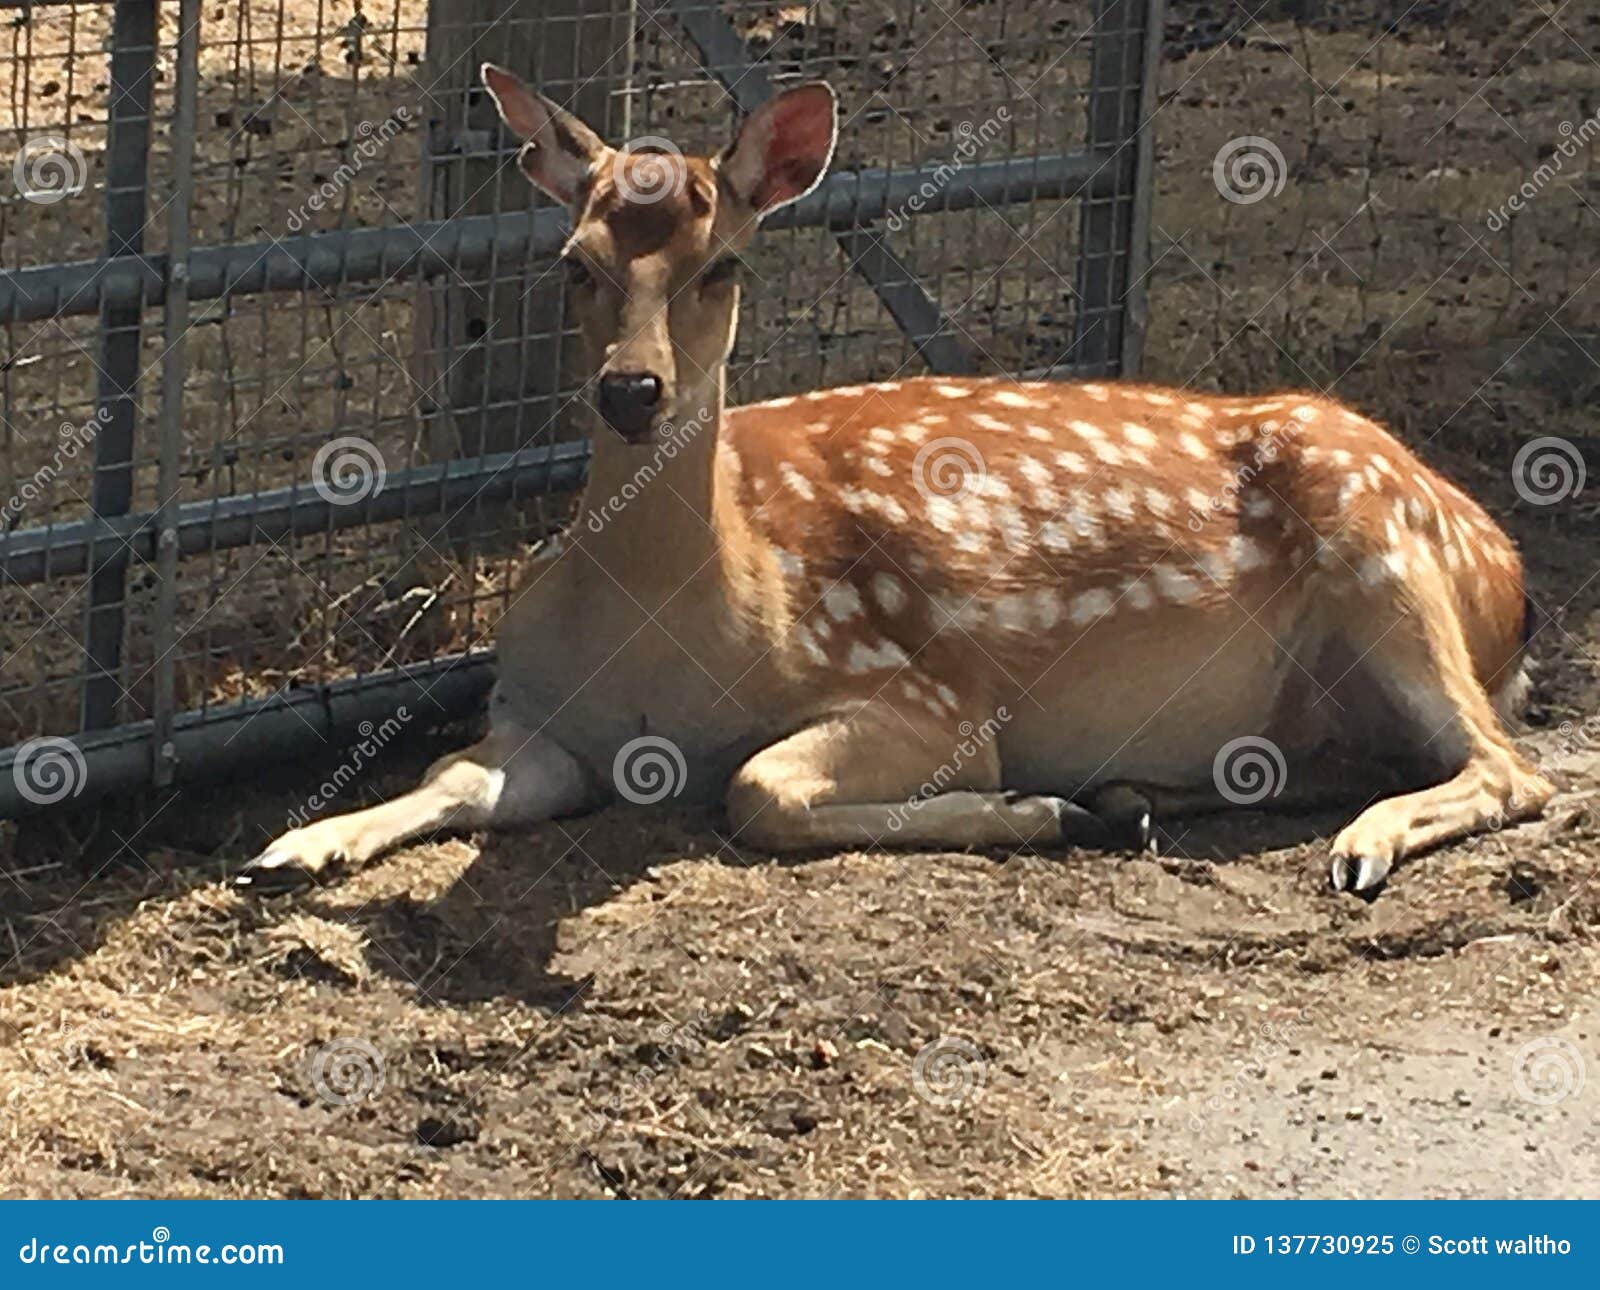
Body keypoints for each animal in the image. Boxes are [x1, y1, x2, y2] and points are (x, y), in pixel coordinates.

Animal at [242, 65, 1554, 897]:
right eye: (572, 261)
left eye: (722, 264)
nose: (631, 390)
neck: (686, 636)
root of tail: (1508, 572)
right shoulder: (537, 715)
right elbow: (451, 772)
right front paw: (298, 848)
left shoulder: (924, 693)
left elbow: (757, 790)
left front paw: (1027, 811)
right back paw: (1147, 795)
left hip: (1380, 544)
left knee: (1509, 768)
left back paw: (1346, 847)